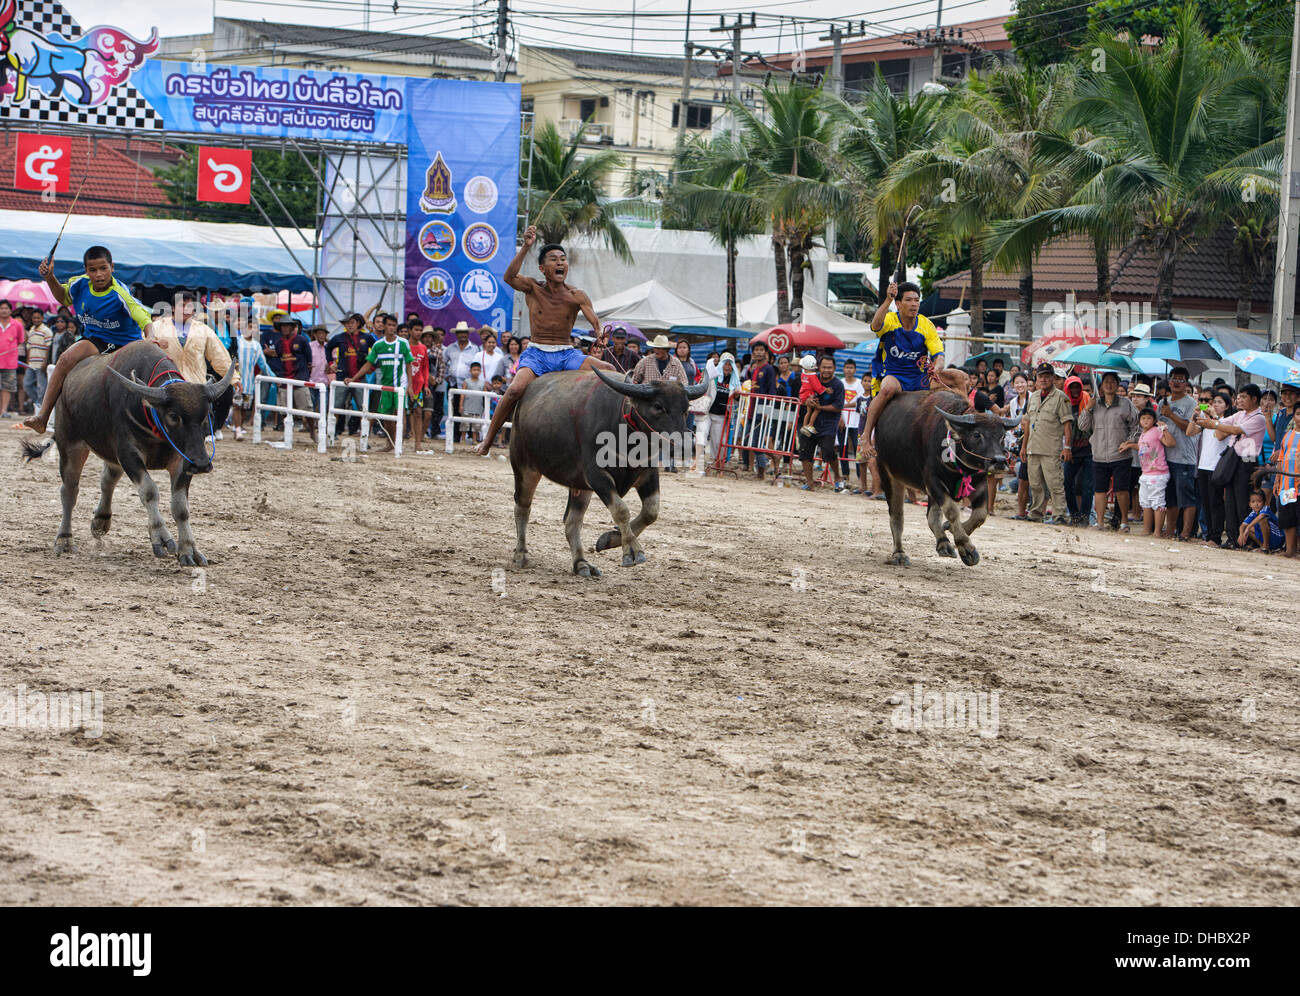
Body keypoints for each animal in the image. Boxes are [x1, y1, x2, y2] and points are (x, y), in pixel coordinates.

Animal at [20, 340, 233, 565]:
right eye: (173, 415)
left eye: (207, 415)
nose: (201, 464)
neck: (150, 418)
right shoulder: (128, 454)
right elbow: (149, 491)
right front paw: (161, 538)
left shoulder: (181, 459)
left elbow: (181, 507)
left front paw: (189, 550)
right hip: (70, 446)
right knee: (69, 491)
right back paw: (64, 539)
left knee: (107, 480)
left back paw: (100, 520)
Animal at [508, 366, 707, 577]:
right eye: (658, 405)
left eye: (686, 408)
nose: (685, 446)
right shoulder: (597, 476)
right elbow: (621, 510)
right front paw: (632, 551)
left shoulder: (648, 474)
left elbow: (651, 512)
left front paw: (609, 539)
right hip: (524, 467)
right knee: (523, 507)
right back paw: (521, 554)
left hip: (580, 487)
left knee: (572, 522)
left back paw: (581, 564)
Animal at [872, 390, 1020, 567]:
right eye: (977, 434)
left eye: (1002, 436)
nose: (999, 461)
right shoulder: (933, 482)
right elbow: (952, 511)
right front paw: (966, 547)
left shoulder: (980, 484)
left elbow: (980, 515)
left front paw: (951, 529)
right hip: (888, 473)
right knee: (896, 516)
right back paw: (899, 554)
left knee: (931, 516)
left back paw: (944, 544)